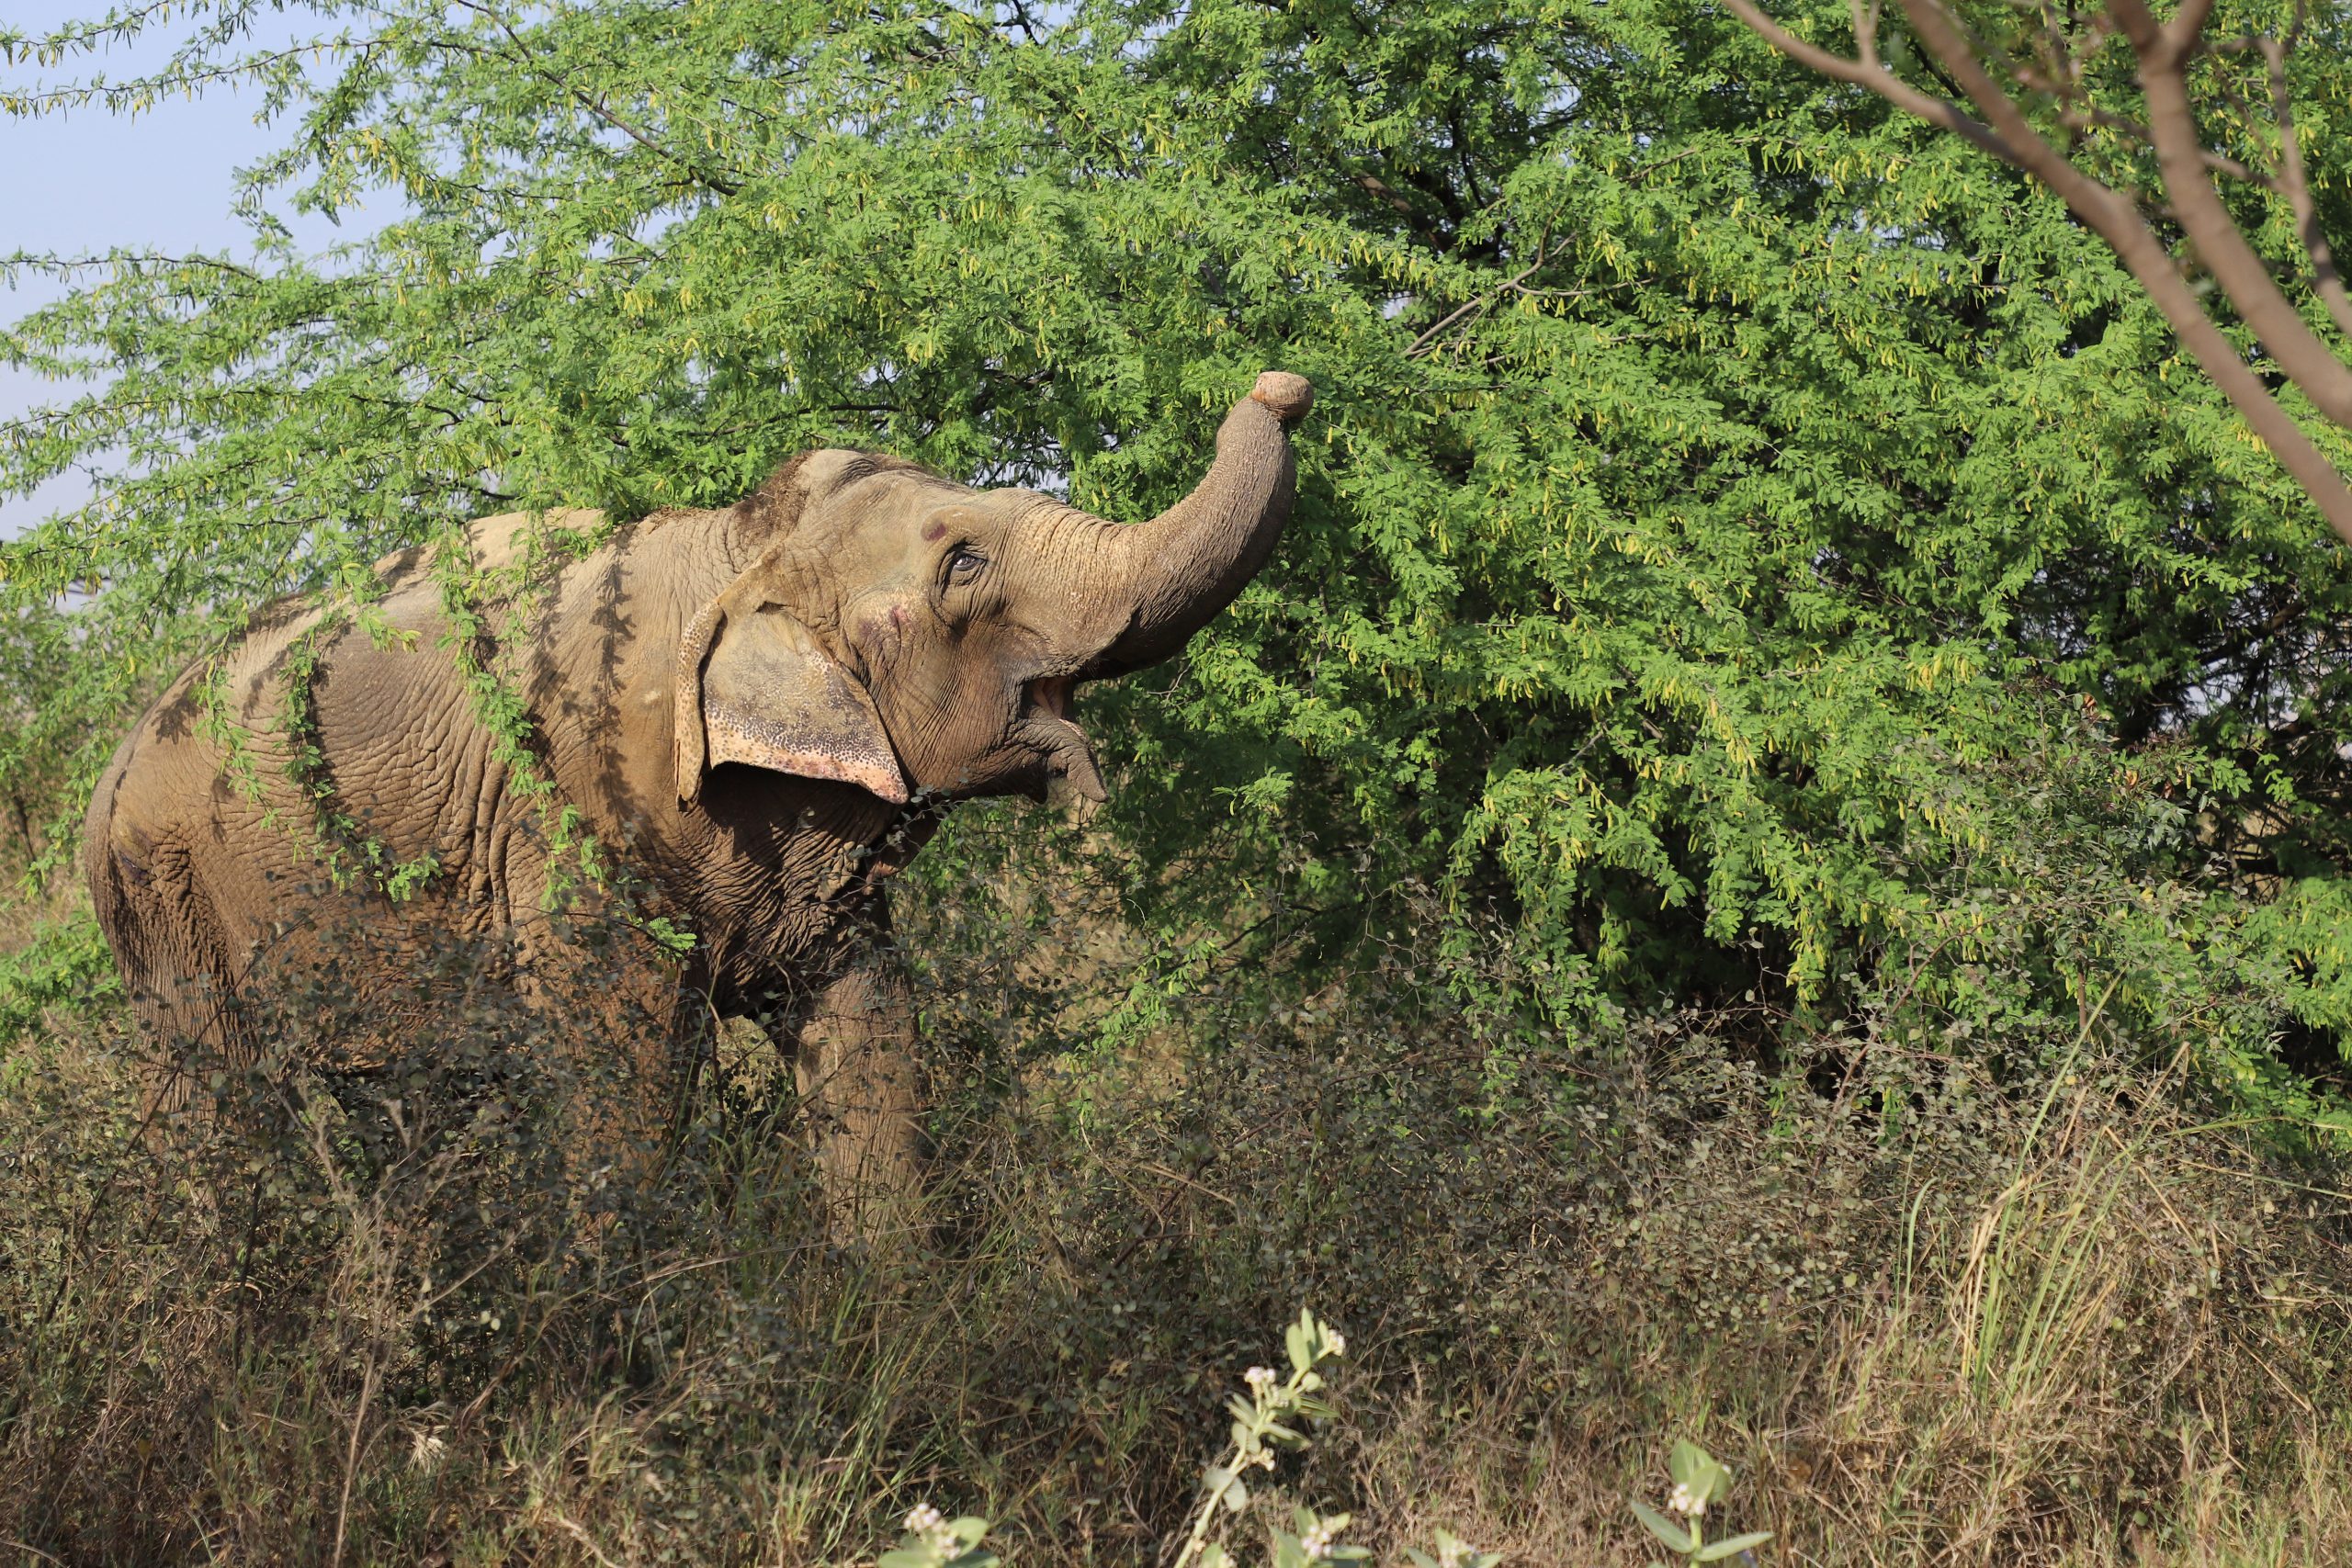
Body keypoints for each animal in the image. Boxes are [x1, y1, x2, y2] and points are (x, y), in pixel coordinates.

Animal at [84, 370, 1314, 1220]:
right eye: (963, 564)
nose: (1281, 385)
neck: (737, 548)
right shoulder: (577, 825)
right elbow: (627, 1064)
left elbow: (866, 1039)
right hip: (163, 902)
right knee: (210, 1104)